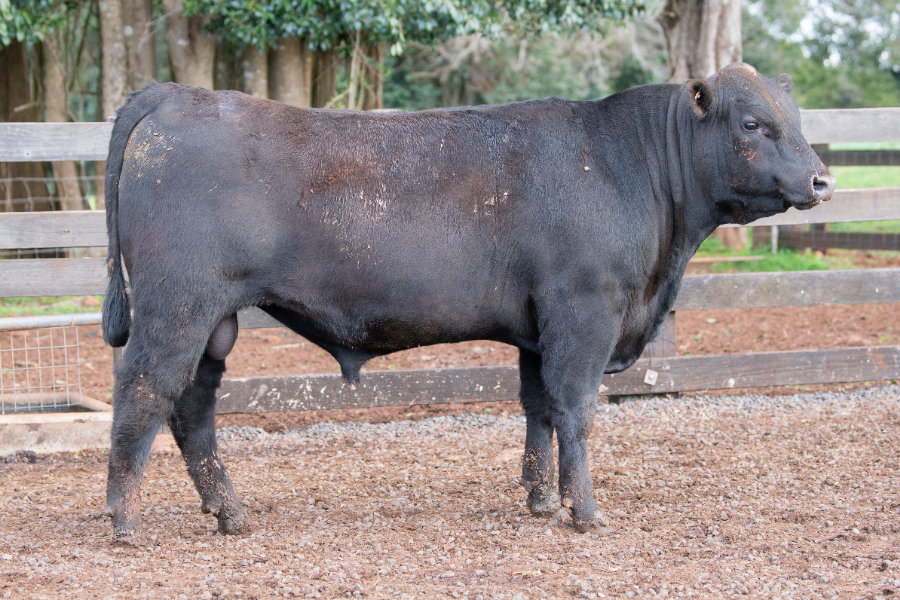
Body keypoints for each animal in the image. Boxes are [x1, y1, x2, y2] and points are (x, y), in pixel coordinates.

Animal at [101, 63, 834, 542]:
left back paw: (229, 512)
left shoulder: (539, 330)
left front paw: (542, 499)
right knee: (143, 393)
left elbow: (539, 408)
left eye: (795, 120)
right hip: (176, 309)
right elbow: (576, 408)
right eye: (752, 122)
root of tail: (177, 94)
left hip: (213, 322)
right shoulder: (585, 312)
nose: (822, 180)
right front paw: (586, 512)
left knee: (192, 408)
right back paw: (125, 520)